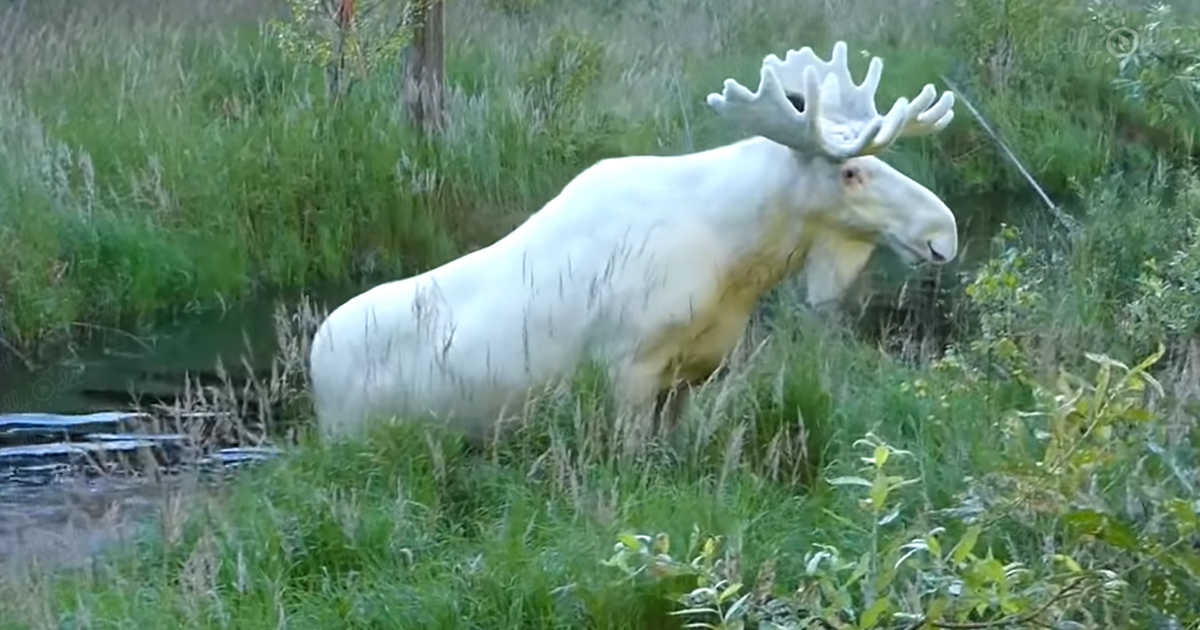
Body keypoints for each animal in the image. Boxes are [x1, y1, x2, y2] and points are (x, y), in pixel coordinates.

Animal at [307, 40, 959, 443]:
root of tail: (313, 361)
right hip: (351, 436)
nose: (942, 232)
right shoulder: (628, 369)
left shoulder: (690, 375)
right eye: (850, 171)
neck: (740, 258)